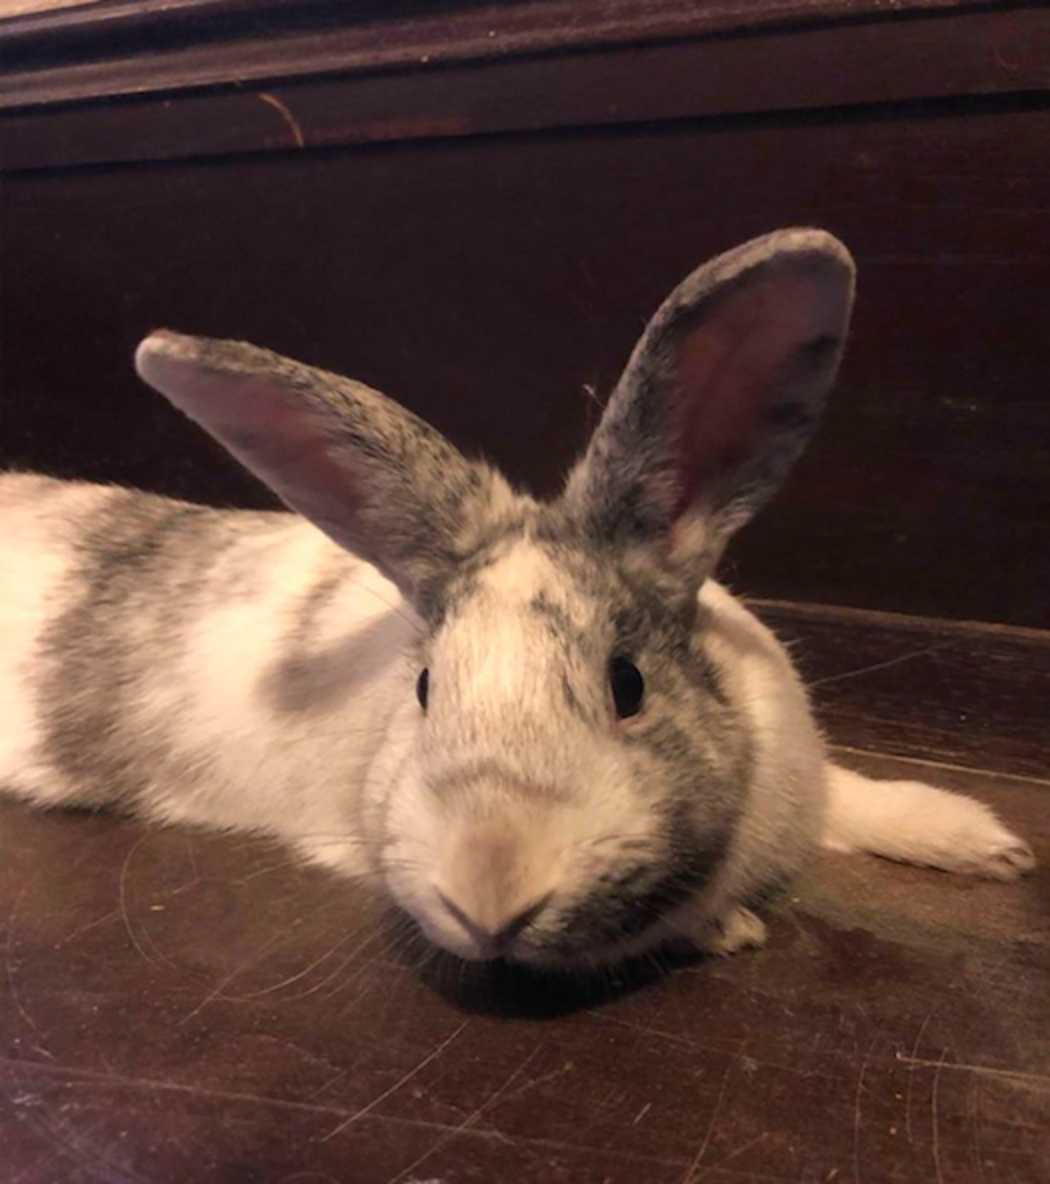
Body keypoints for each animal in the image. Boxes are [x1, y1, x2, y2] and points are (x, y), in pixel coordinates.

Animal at [0, 229, 1035, 969]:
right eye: (424, 690)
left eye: (628, 686)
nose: (491, 893)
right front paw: (730, 931)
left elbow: (859, 799)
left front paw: (988, 845)